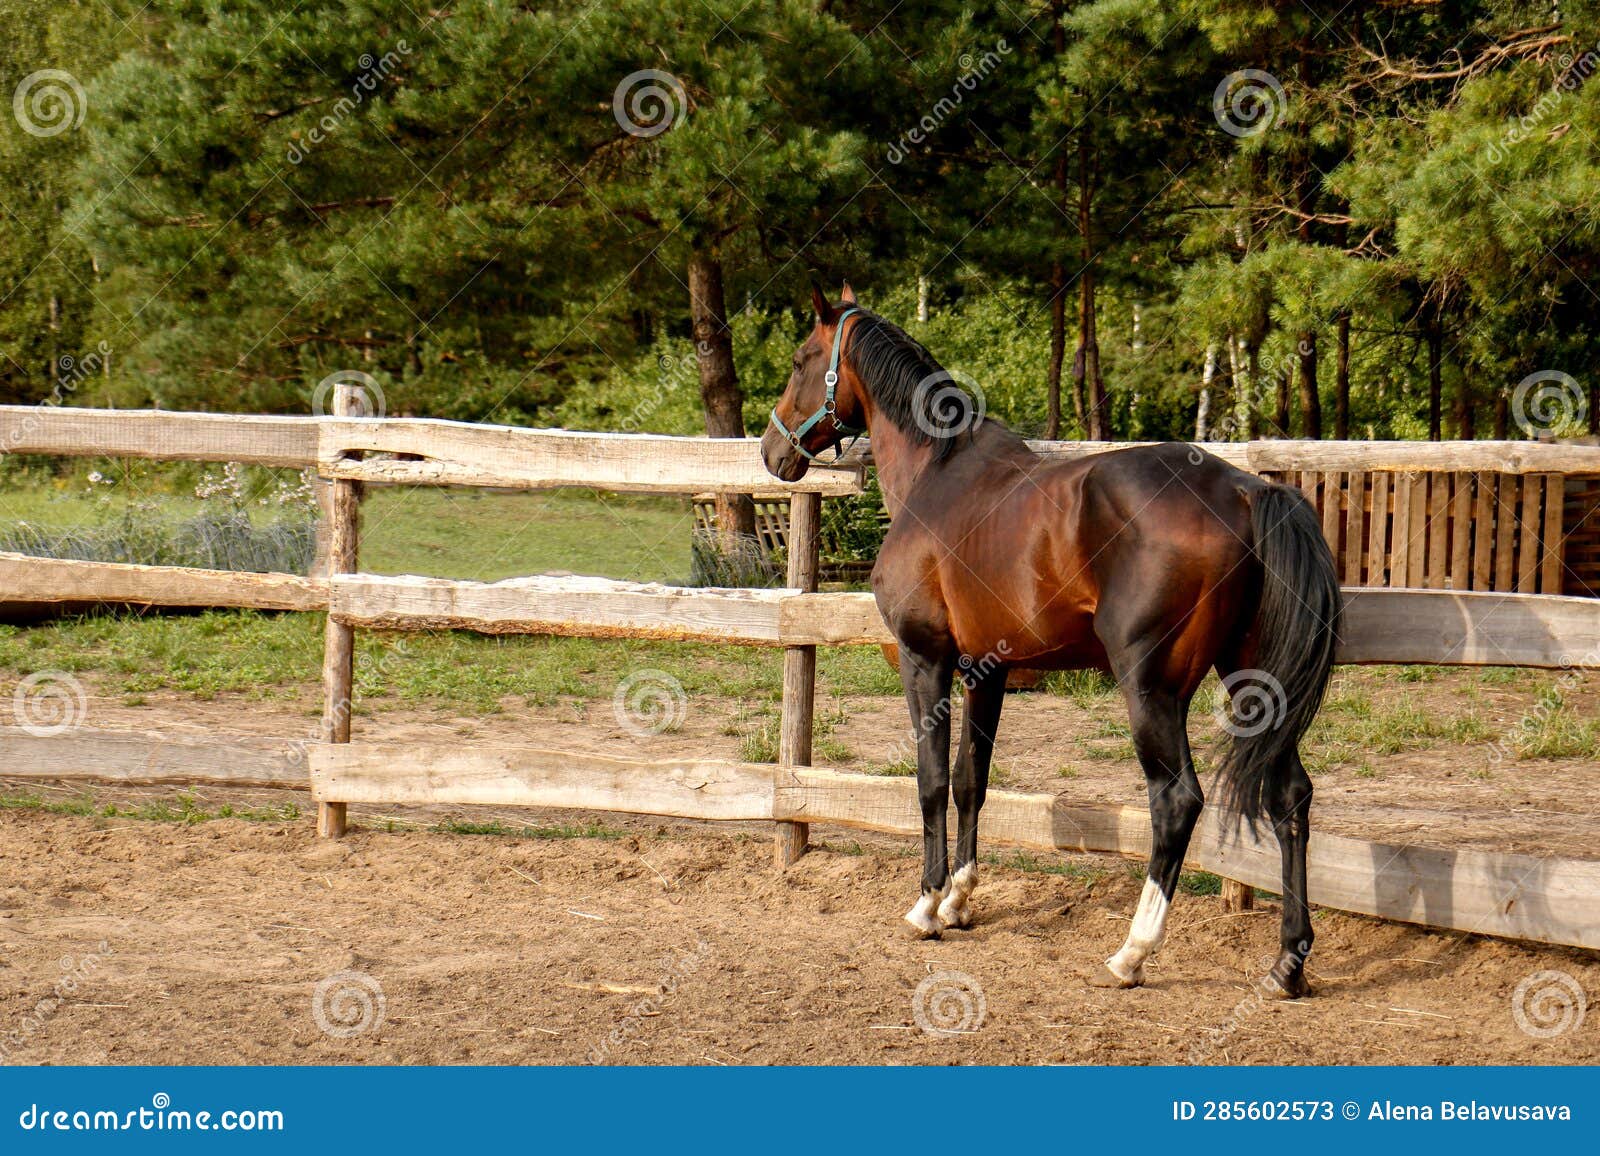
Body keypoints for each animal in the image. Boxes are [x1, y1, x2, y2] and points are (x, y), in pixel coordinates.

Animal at [760, 284, 1341, 997]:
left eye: (800, 359)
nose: (772, 452)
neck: (937, 473)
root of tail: (1246, 490)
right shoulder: (984, 672)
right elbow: (970, 780)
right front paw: (960, 900)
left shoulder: (925, 659)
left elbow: (929, 779)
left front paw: (927, 905)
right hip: (1252, 680)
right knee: (1290, 797)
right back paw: (1287, 963)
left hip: (1152, 689)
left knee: (1177, 801)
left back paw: (1132, 953)